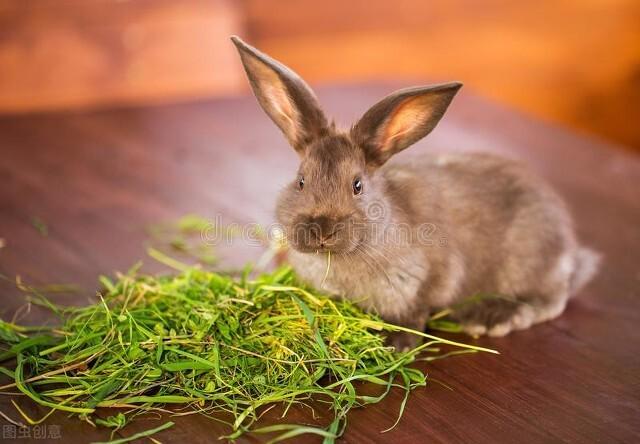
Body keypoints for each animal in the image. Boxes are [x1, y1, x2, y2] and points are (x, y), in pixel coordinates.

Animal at [231, 36, 600, 350]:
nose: (321, 231)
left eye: (357, 185)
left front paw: (396, 344)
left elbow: (415, 313)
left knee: (550, 300)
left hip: (530, 261)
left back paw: (491, 318)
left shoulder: (428, 279)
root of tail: (569, 251)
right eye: (301, 181)